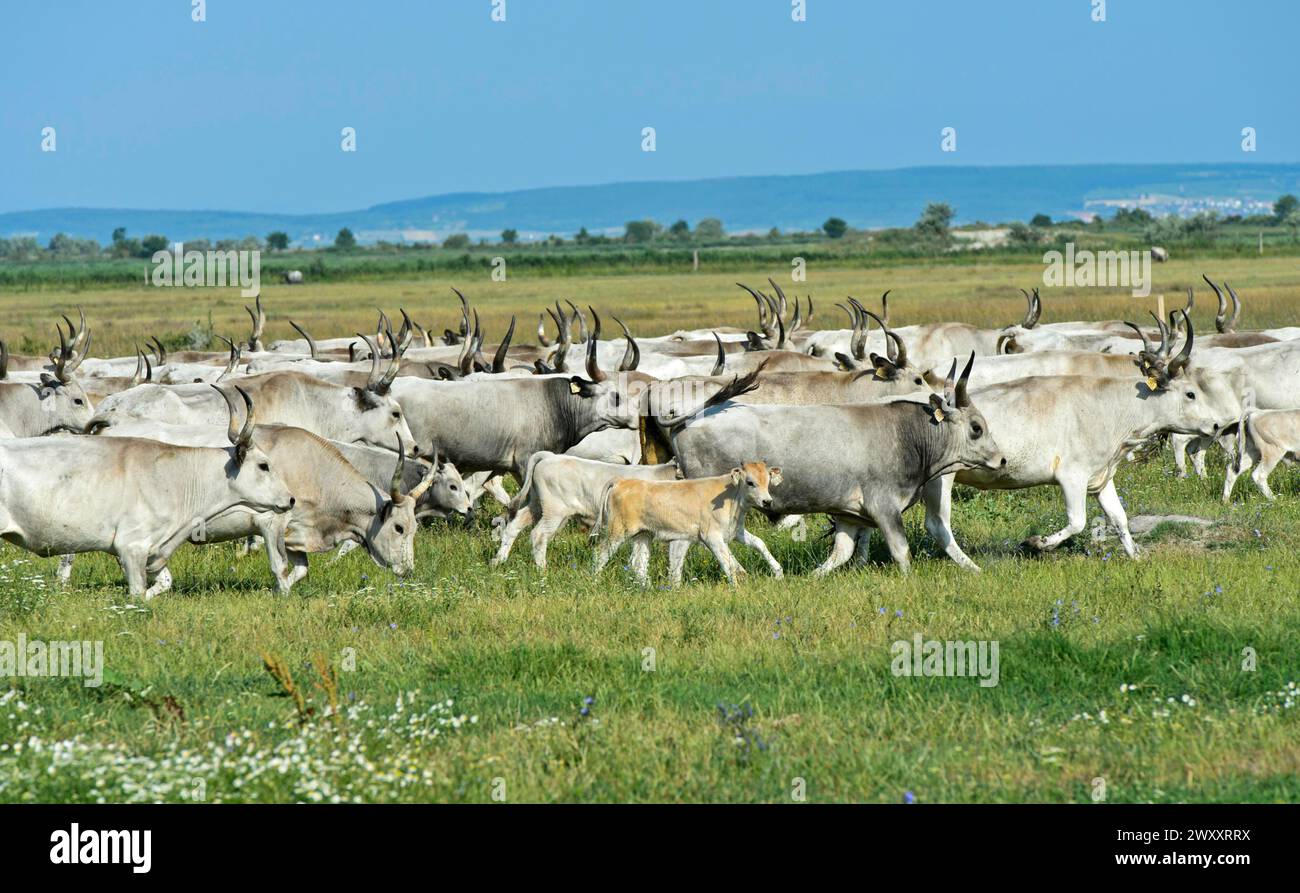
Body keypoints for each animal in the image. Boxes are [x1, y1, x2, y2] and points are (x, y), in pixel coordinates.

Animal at [591, 461, 782, 586]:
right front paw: (736, 587)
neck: (731, 498)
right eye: (750, 482)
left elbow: (759, 543)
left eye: (767, 481)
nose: (767, 501)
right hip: (617, 531)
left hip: (643, 535)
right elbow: (726, 560)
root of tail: (622, 481)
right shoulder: (711, 536)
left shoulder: (736, 531)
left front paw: (778, 572)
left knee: (639, 564)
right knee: (601, 554)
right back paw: (593, 582)